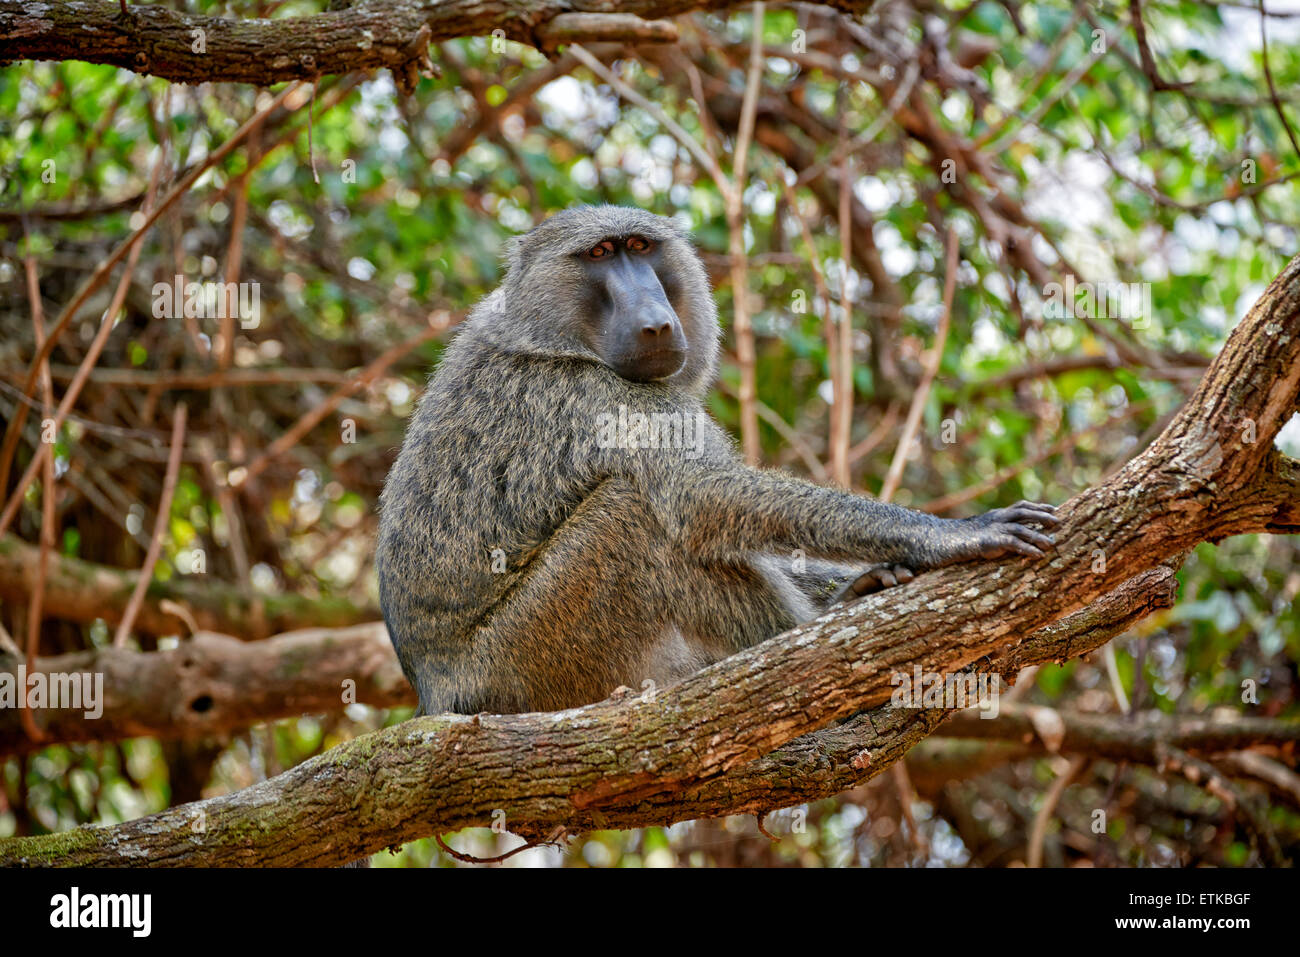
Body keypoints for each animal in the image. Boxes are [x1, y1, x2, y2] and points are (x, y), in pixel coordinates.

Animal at [375, 205, 1058, 716]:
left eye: (640, 247)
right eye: (599, 256)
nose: (655, 320)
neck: (543, 332)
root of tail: (438, 692)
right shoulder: (596, 398)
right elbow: (702, 496)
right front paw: (954, 535)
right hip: (527, 660)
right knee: (634, 516)